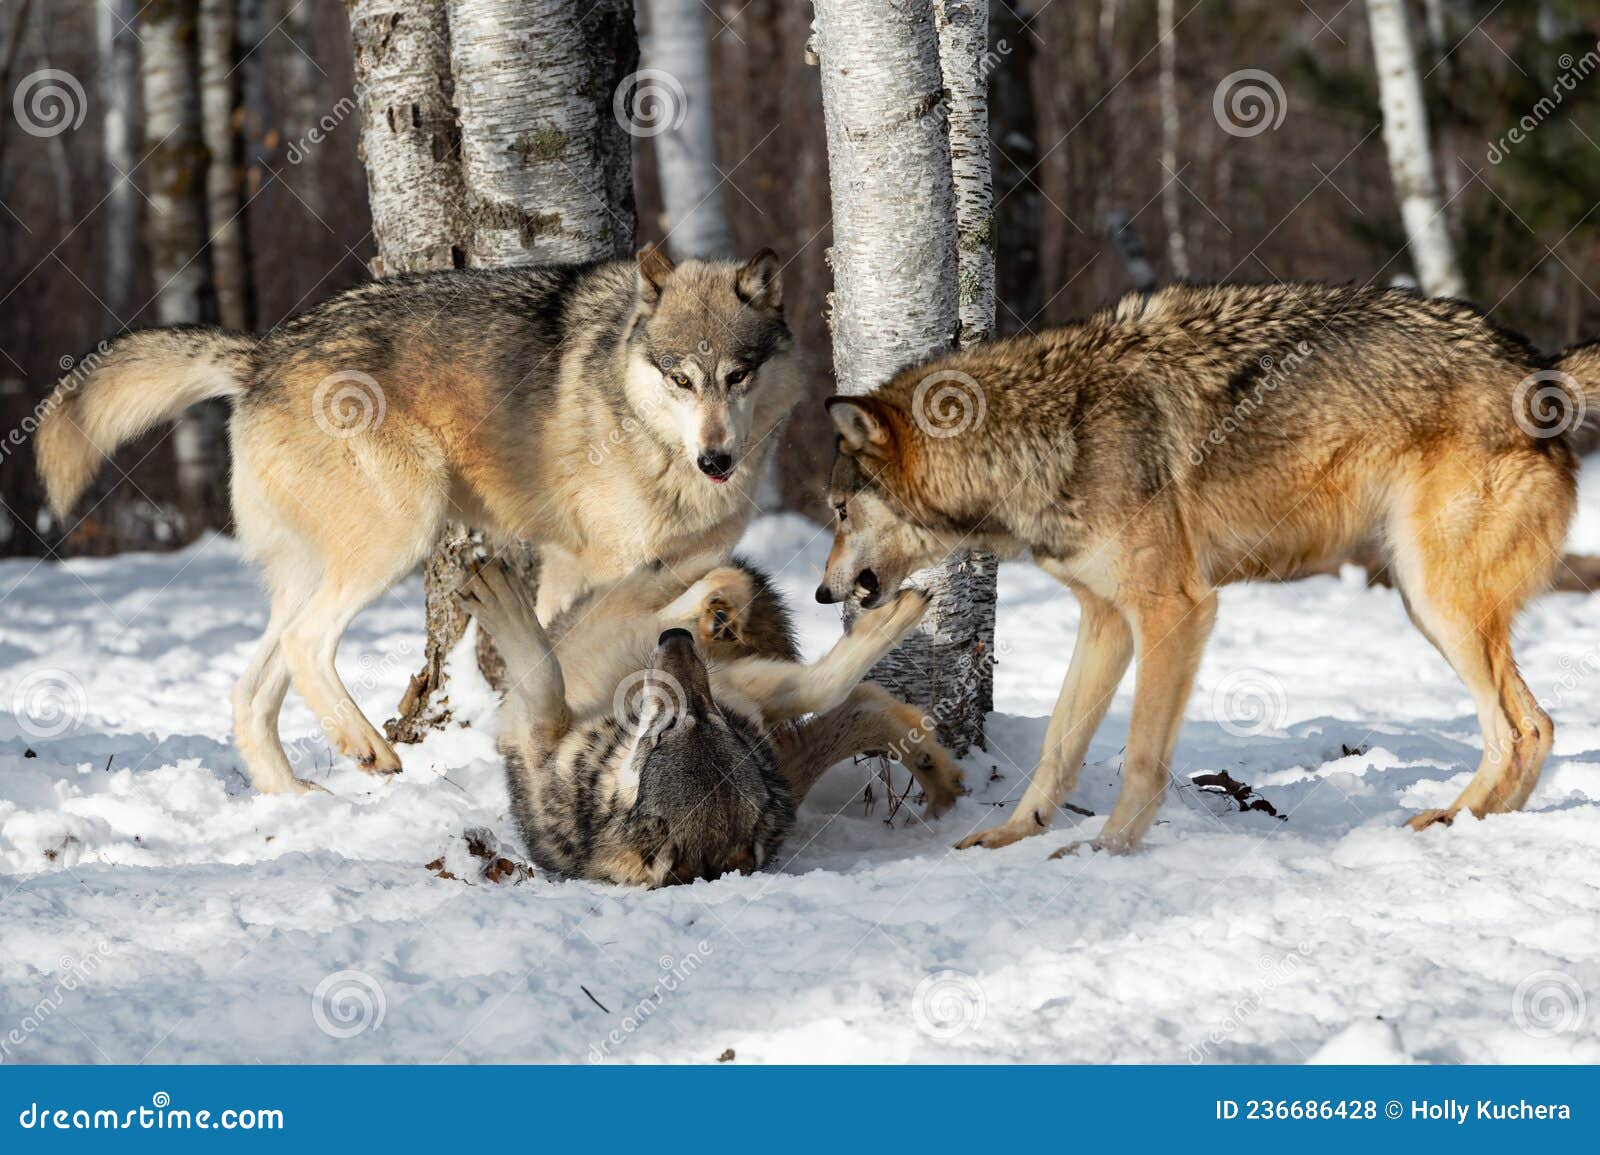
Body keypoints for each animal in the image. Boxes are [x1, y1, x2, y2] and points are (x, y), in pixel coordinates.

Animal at [35, 246, 797, 794]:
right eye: (681, 378)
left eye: (738, 375)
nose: (717, 458)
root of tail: (264, 351)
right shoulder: (600, 567)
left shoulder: (629, 564)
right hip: (403, 534)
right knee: (307, 646)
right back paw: (369, 748)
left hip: (313, 574)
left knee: (251, 690)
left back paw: (301, 799)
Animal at [817, 282, 1600, 854]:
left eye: (839, 509)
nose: (823, 593)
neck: (1049, 435)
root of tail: (1540, 368)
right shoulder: (1106, 621)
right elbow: (1057, 748)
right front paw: (1014, 833)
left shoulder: (1175, 611)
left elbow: (1140, 756)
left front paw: (1106, 848)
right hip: (1422, 601)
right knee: (1537, 727)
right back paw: (1474, 822)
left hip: (1436, 600)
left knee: (1521, 730)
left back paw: (1449, 821)